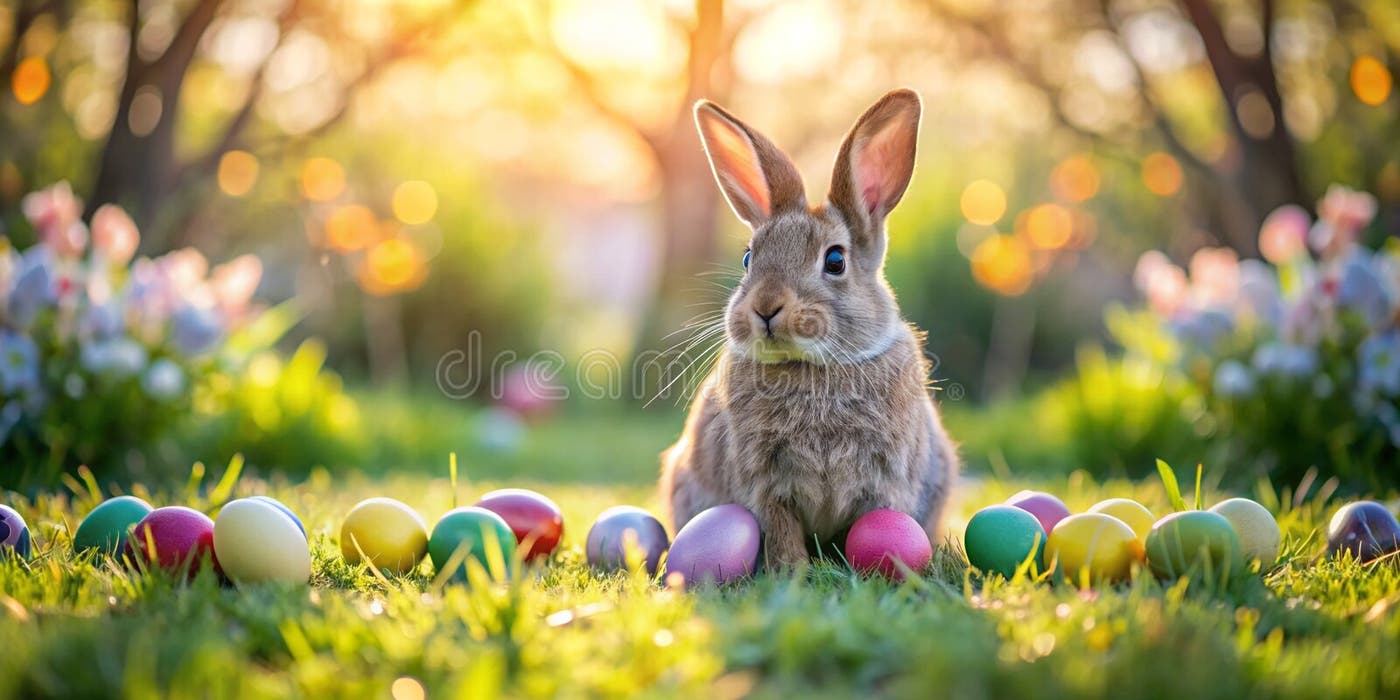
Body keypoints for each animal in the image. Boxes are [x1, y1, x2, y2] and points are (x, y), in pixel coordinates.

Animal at [659, 88, 960, 569]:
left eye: (835, 260)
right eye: (748, 258)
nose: (764, 307)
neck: (813, 367)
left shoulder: (886, 482)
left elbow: (879, 524)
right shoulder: (767, 486)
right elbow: (781, 531)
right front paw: (793, 571)